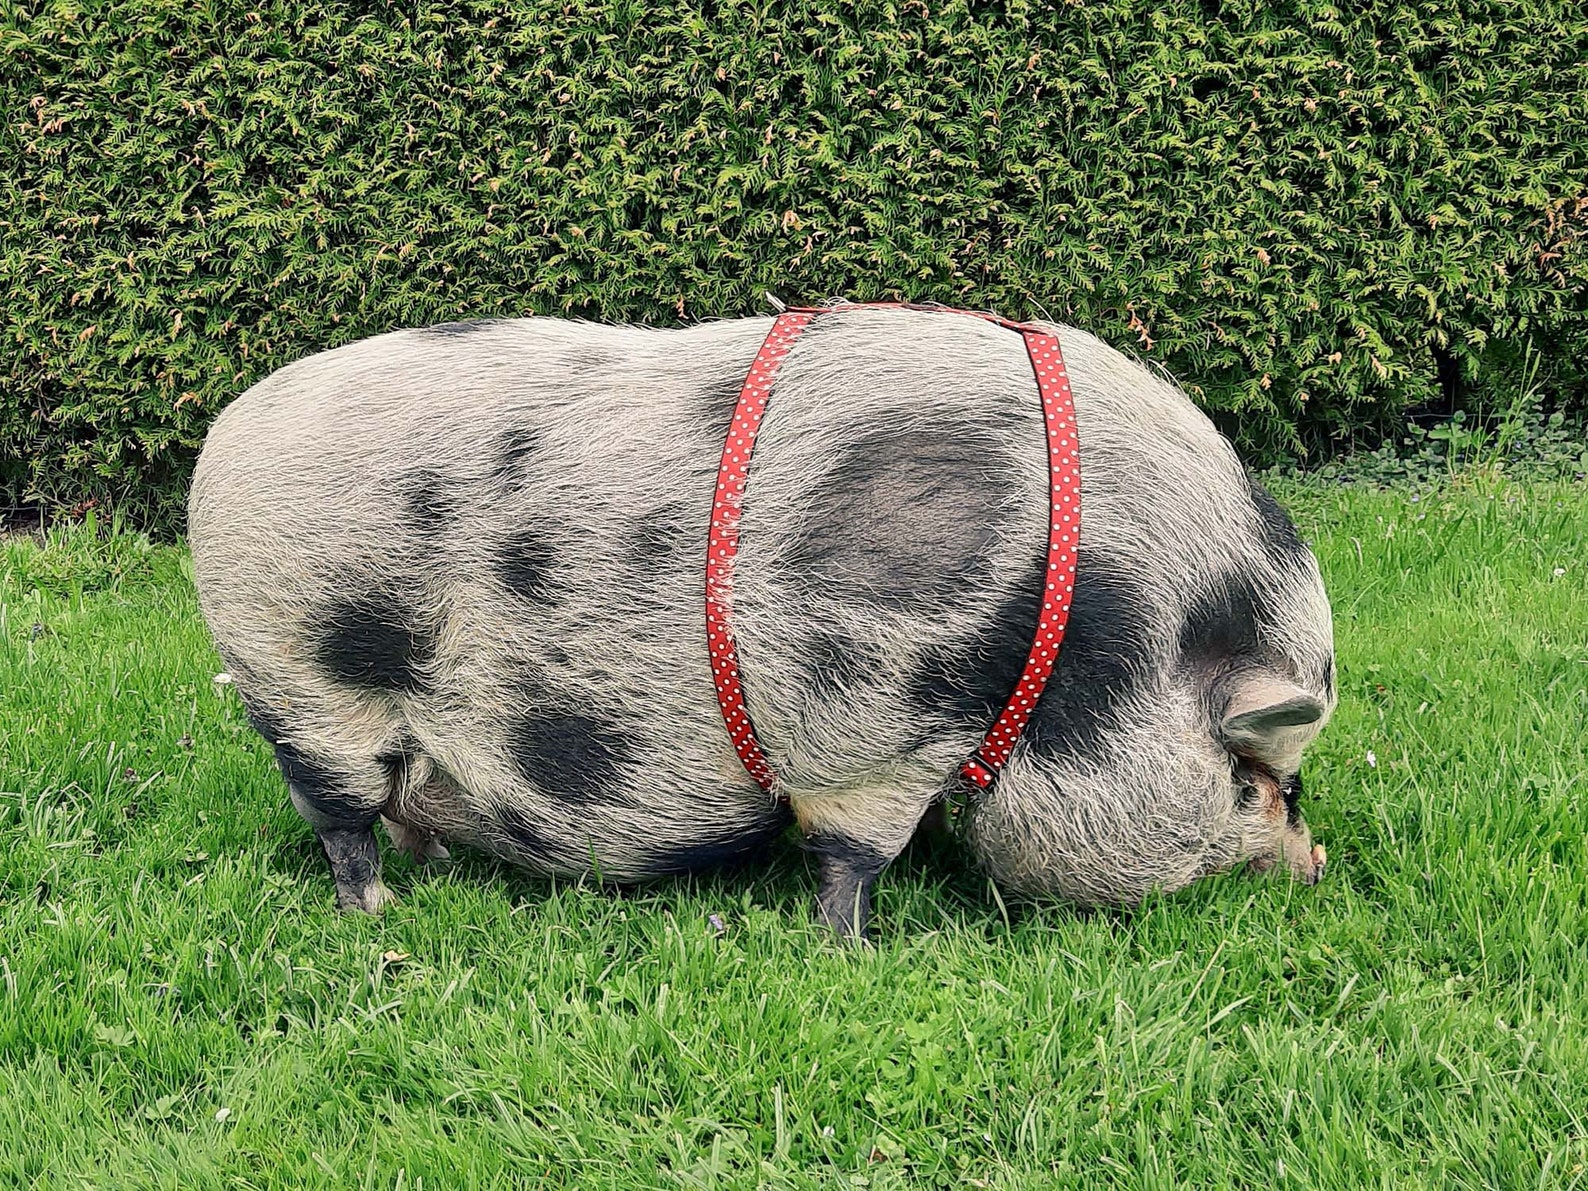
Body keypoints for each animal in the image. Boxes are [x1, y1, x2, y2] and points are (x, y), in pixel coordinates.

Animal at [186, 305, 1336, 938]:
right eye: (1249, 779)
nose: (1315, 861)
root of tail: (224, 437)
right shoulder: (872, 727)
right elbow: (851, 860)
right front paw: (859, 950)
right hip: (303, 678)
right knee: (339, 818)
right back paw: (378, 914)